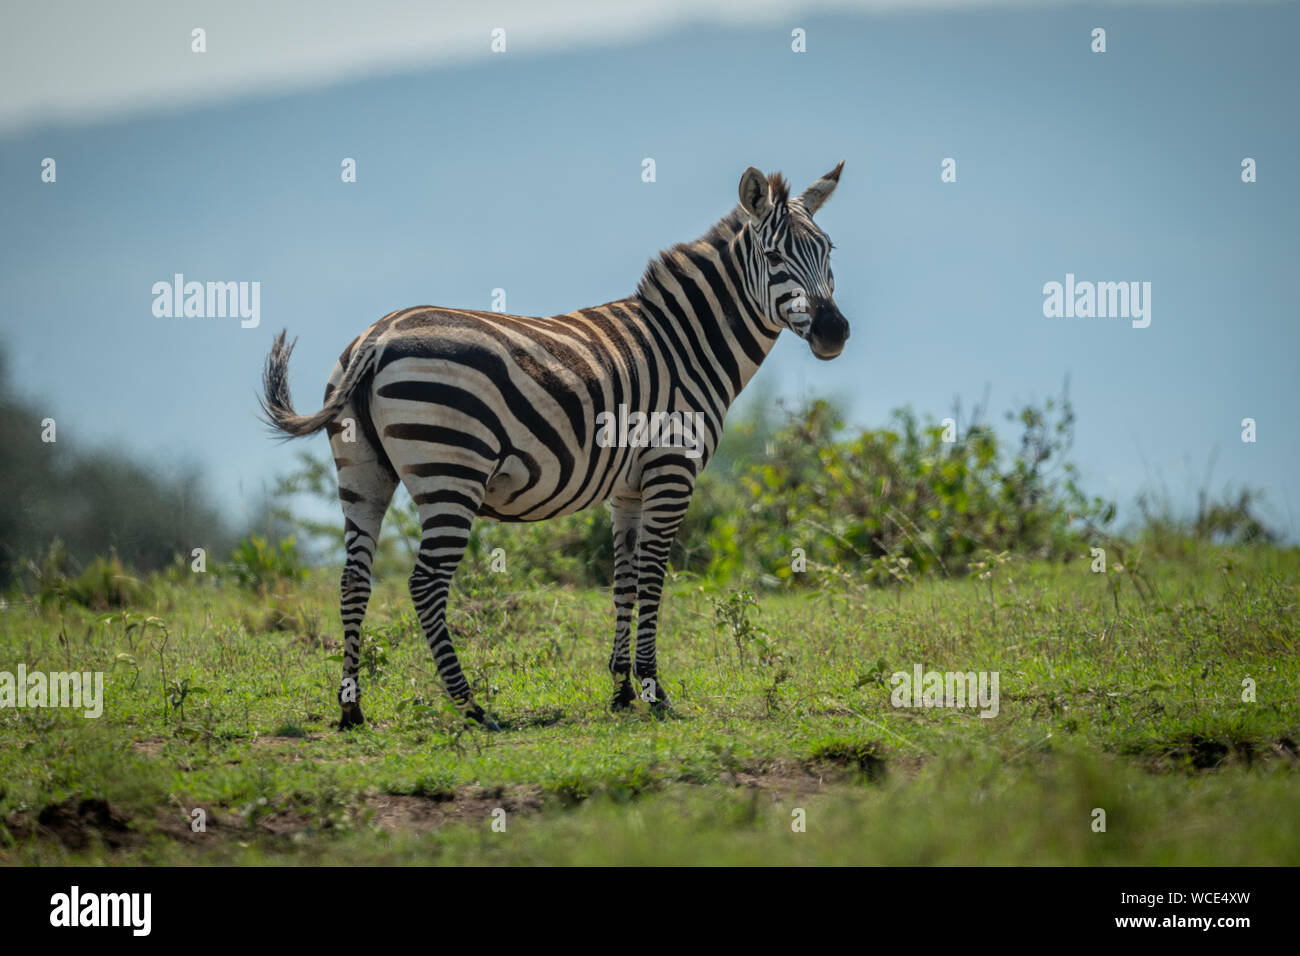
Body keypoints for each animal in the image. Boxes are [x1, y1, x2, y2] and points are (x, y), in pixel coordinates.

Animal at [258, 162, 850, 731]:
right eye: (773, 255)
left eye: (828, 250)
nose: (834, 333)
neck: (687, 345)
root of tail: (377, 337)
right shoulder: (670, 470)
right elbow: (653, 578)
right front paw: (654, 692)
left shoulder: (626, 489)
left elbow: (624, 581)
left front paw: (621, 691)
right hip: (451, 470)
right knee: (425, 584)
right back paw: (470, 706)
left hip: (361, 471)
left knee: (353, 581)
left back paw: (351, 709)